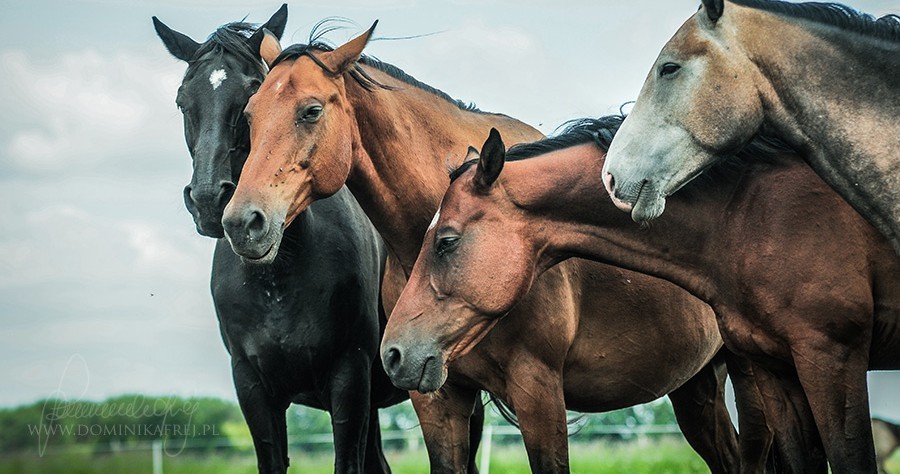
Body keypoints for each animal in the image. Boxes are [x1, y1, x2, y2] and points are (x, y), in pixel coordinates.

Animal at [153, 8, 407, 472]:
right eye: (182, 100)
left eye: (250, 92)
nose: (208, 200)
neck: (278, 278)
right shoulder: (252, 385)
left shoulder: (350, 376)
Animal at [219, 23, 745, 473]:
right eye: (250, 115)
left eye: (311, 110)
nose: (241, 222)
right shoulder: (437, 395)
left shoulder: (538, 390)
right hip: (696, 388)